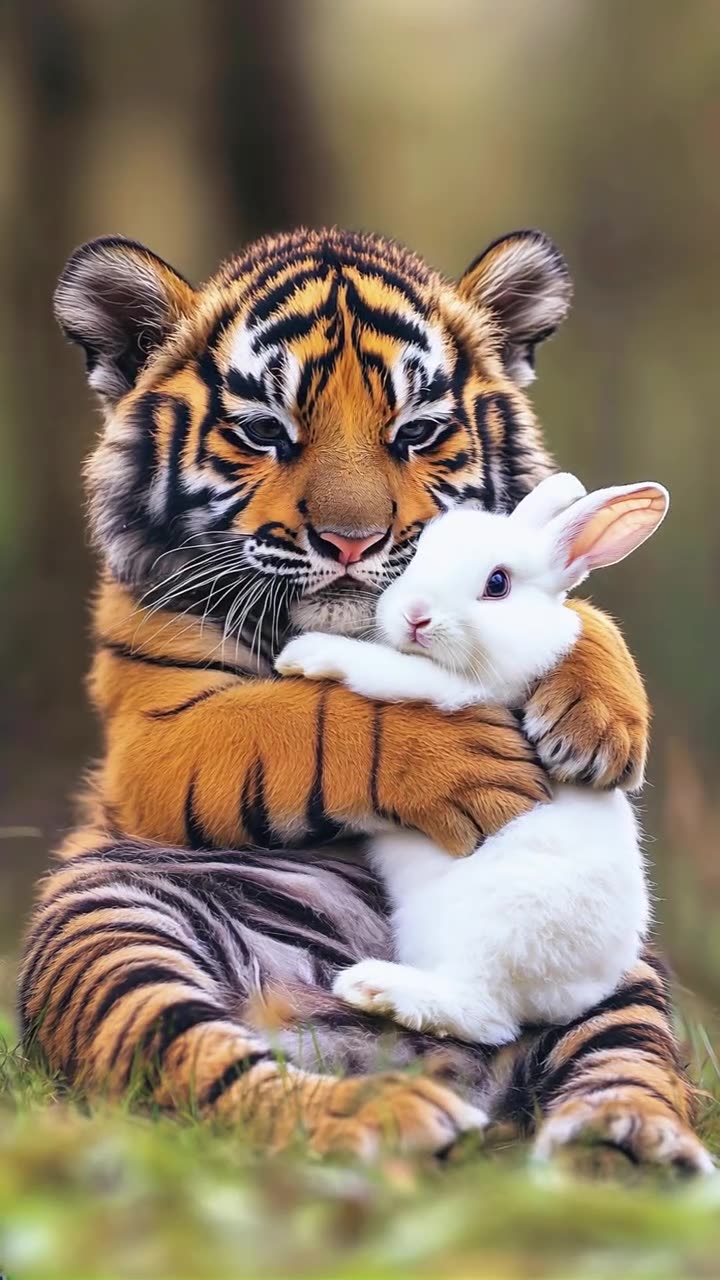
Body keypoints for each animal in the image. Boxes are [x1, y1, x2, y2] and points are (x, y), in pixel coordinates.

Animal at [275, 473, 669, 1045]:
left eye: (497, 584)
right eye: (419, 555)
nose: (415, 615)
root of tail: (573, 997)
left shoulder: (466, 689)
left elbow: (388, 669)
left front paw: (305, 654)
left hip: (490, 932)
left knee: (484, 1014)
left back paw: (375, 988)